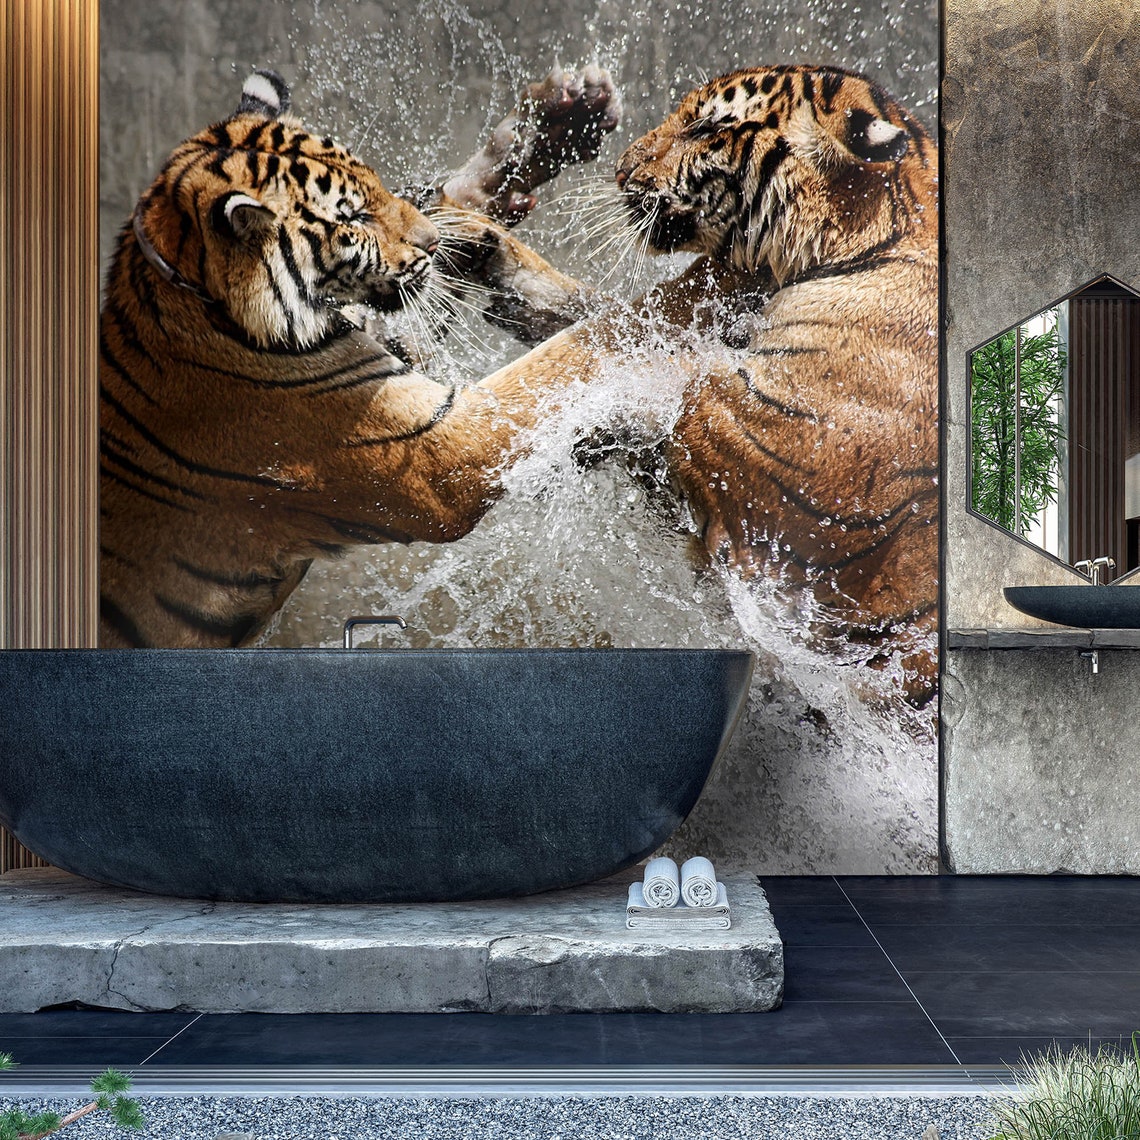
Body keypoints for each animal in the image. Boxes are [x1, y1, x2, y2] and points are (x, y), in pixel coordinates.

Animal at [98, 66, 620, 648]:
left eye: (378, 184)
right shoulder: (438, 451)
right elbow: (562, 359)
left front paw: (558, 120)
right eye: (357, 217)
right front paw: (656, 314)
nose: (431, 241)